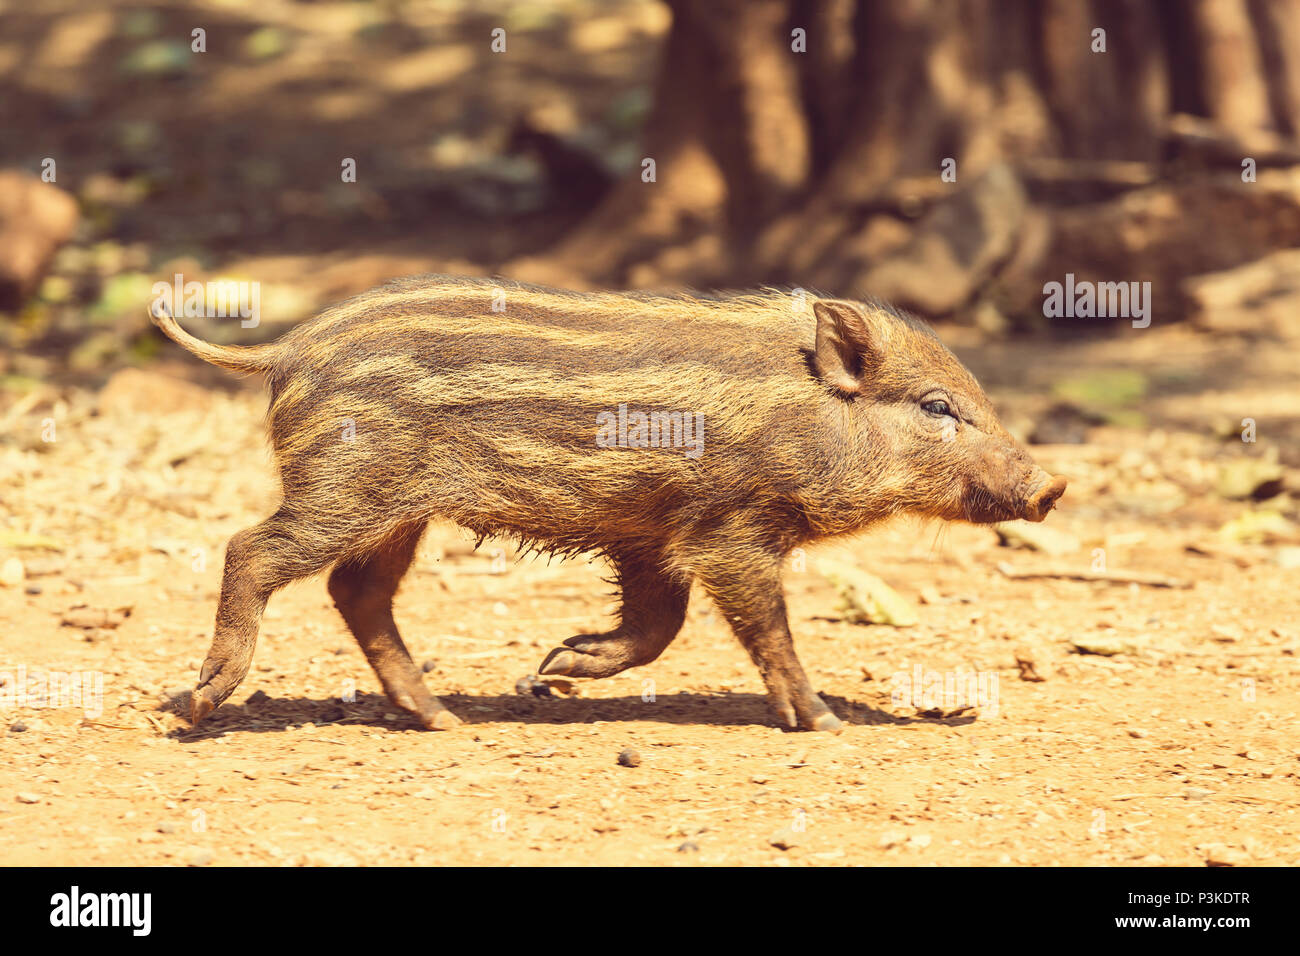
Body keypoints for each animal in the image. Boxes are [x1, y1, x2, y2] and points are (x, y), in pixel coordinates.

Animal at [149, 275, 1066, 733]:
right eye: (938, 407)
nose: (1053, 486)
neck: (805, 417)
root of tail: (283, 351)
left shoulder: (652, 535)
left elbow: (657, 627)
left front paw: (553, 670)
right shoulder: (731, 528)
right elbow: (764, 627)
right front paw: (823, 722)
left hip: (397, 511)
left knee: (357, 592)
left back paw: (447, 722)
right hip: (346, 488)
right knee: (251, 550)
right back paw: (194, 704)